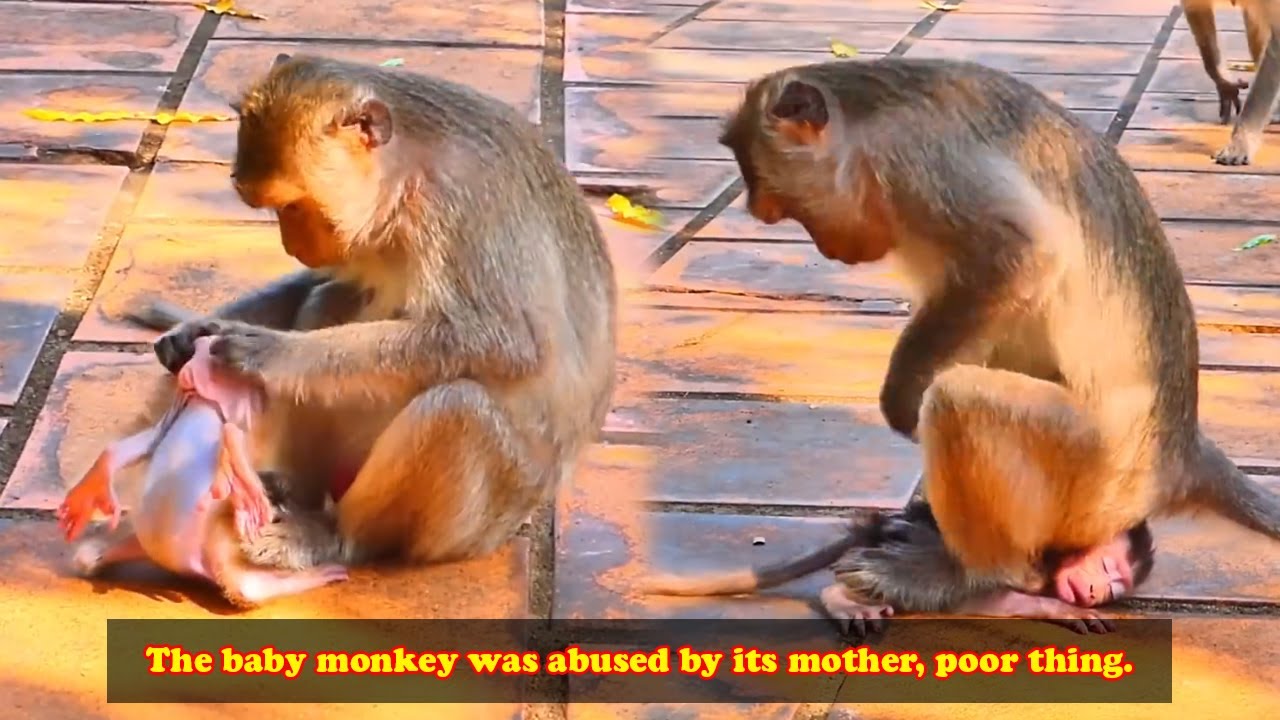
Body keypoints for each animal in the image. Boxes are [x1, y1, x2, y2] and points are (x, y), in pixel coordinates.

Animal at [140, 53, 616, 571]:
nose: (291, 244)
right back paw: (297, 490)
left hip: (487, 518)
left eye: (295, 207)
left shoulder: (459, 206)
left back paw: (336, 536)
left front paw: (272, 353)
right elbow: (327, 281)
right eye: (277, 211)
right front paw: (198, 329)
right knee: (328, 300)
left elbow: (506, 343)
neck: (408, 174)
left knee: (457, 409)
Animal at [646, 57, 1280, 630]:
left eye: (788, 207)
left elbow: (1019, 254)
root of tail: (1180, 452)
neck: (869, 117)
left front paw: (902, 405)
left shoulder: (917, 157)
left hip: (1098, 471)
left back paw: (974, 579)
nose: (828, 248)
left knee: (960, 400)